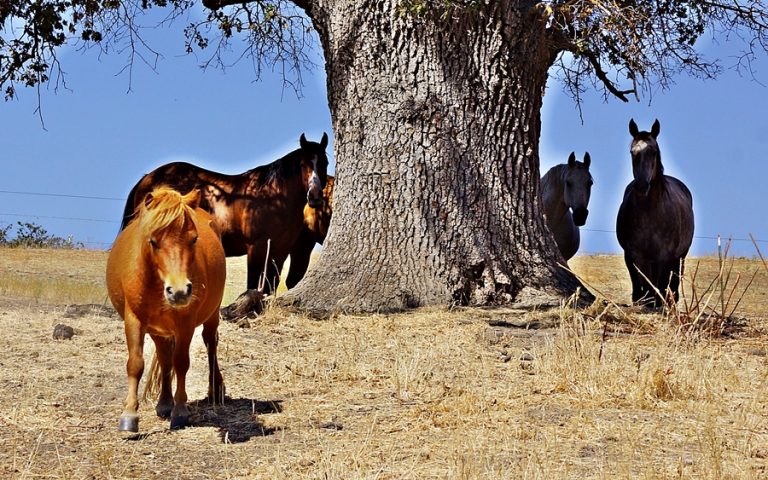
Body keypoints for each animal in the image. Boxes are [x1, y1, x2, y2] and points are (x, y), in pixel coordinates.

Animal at [107, 188, 227, 432]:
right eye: (153, 241)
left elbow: (181, 363)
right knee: (164, 357)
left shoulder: (185, 323)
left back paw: (215, 389)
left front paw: (180, 411)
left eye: (194, 239)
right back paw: (164, 403)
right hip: (158, 330)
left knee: (210, 343)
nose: (179, 291)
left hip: (211, 315)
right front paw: (129, 415)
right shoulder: (134, 319)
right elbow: (136, 364)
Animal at [121, 133, 329, 298]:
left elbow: (270, 287)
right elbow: (253, 284)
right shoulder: (256, 248)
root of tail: (148, 179)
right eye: (303, 164)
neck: (273, 197)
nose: (315, 196)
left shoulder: (280, 251)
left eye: (324, 163)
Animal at [616, 119, 694, 307]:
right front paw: (648, 302)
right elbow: (647, 284)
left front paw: (660, 303)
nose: (642, 186)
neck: (651, 213)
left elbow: (661, 283)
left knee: (674, 279)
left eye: (653, 151)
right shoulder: (638, 255)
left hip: (680, 255)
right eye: (632, 152)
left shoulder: (665, 255)